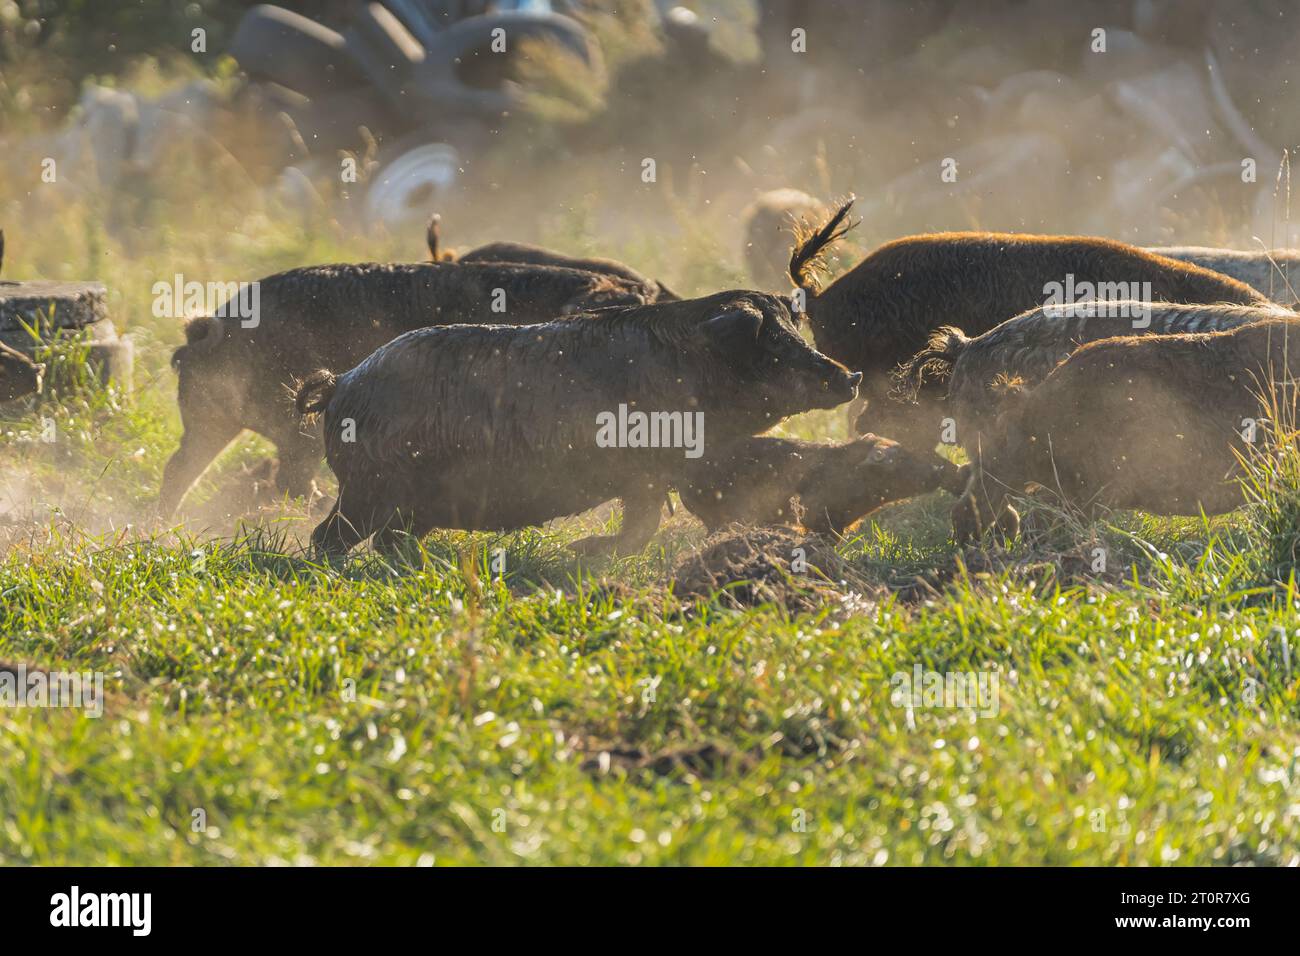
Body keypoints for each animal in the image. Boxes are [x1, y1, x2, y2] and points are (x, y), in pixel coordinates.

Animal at [294, 291, 862, 556]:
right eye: (772, 343)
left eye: (794, 331)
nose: (851, 375)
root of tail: (340, 383)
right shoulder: (645, 472)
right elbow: (640, 528)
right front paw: (580, 551)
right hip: (368, 488)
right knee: (330, 537)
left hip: (404, 501)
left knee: (389, 540)